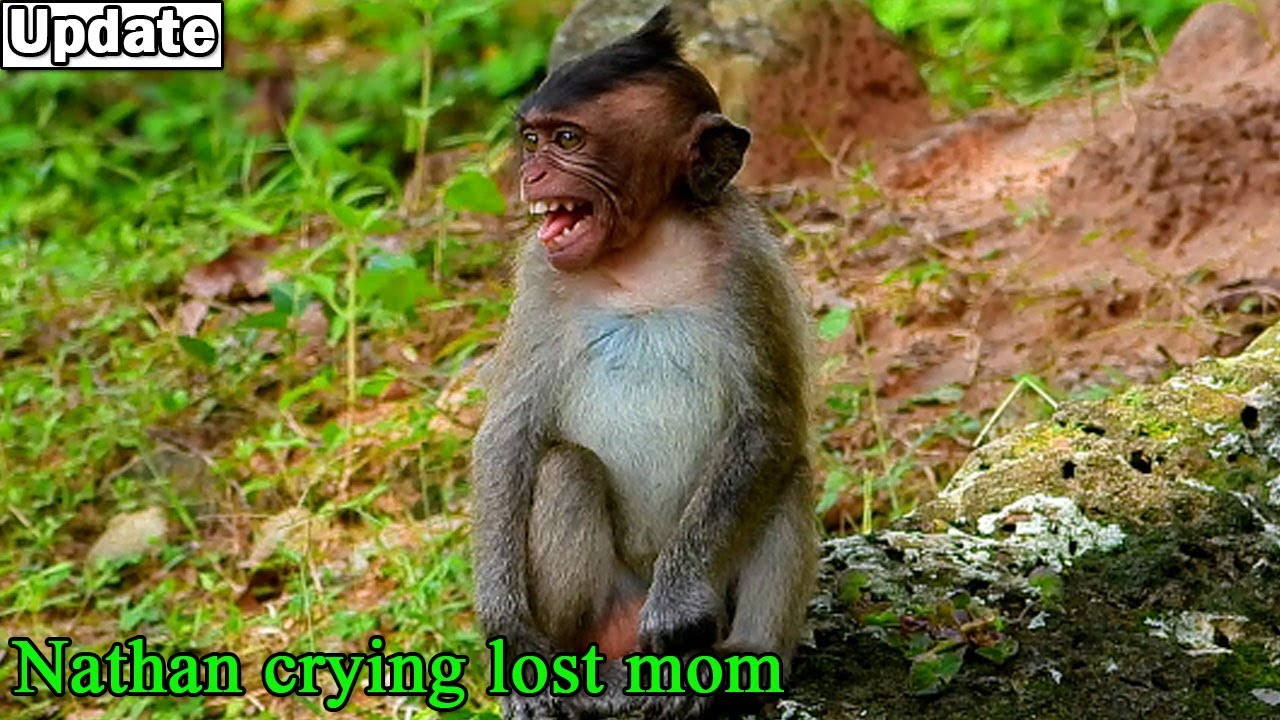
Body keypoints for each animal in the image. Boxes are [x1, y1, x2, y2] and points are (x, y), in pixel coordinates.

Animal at [471, 7, 817, 719]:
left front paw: (679, 605)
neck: (645, 253)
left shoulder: (748, 264)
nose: (530, 176)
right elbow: (509, 437)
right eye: (531, 141)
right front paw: (507, 632)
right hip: (603, 613)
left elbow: (768, 422)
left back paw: (737, 664)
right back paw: (566, 675)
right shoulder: (540, 276)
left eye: (568, 139)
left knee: (787, 471)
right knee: (567, 470)